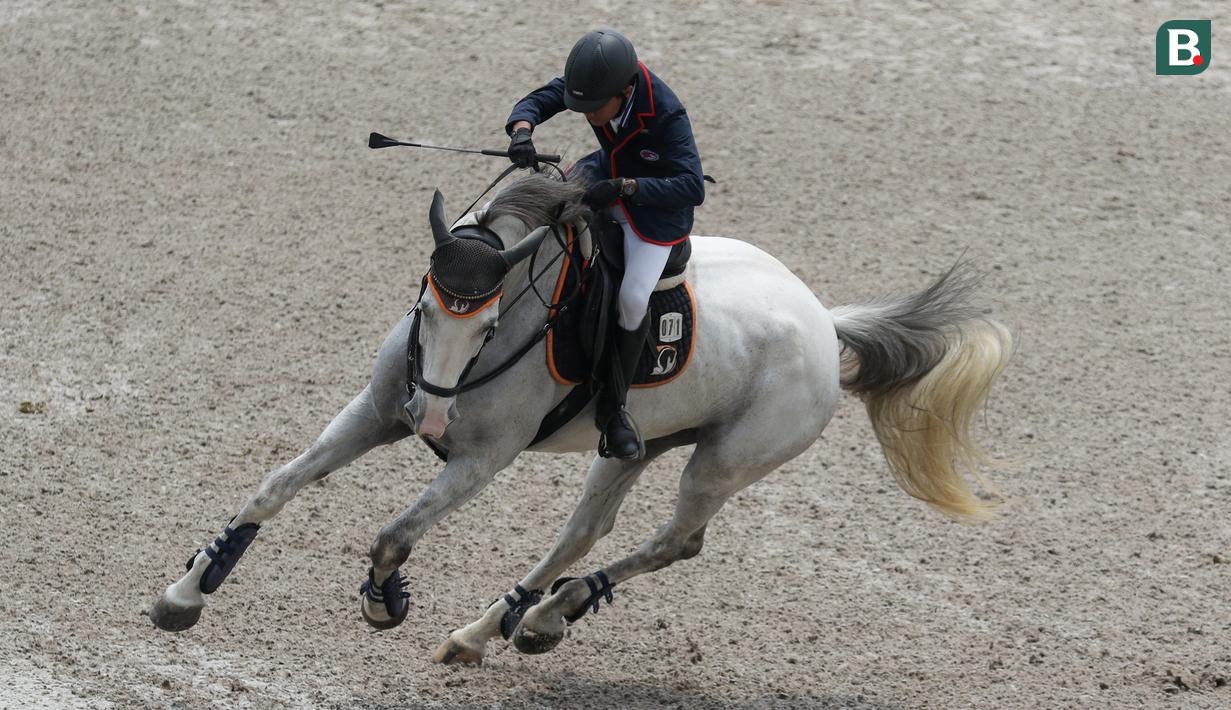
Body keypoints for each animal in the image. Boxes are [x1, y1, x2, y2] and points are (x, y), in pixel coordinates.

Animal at [150, 173, 1013, 665]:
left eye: (490, 326)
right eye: (425, 308)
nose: (429, 422)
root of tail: (823, 322)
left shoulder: (481, 460)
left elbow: (393, 534)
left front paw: (382, 603)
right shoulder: (374, 412)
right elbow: (275, 486)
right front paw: (186, 594)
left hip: (718, 464)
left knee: (673, 541)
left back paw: (543, 617)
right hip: (632, 446)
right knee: (582, 534)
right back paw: (494, 630)